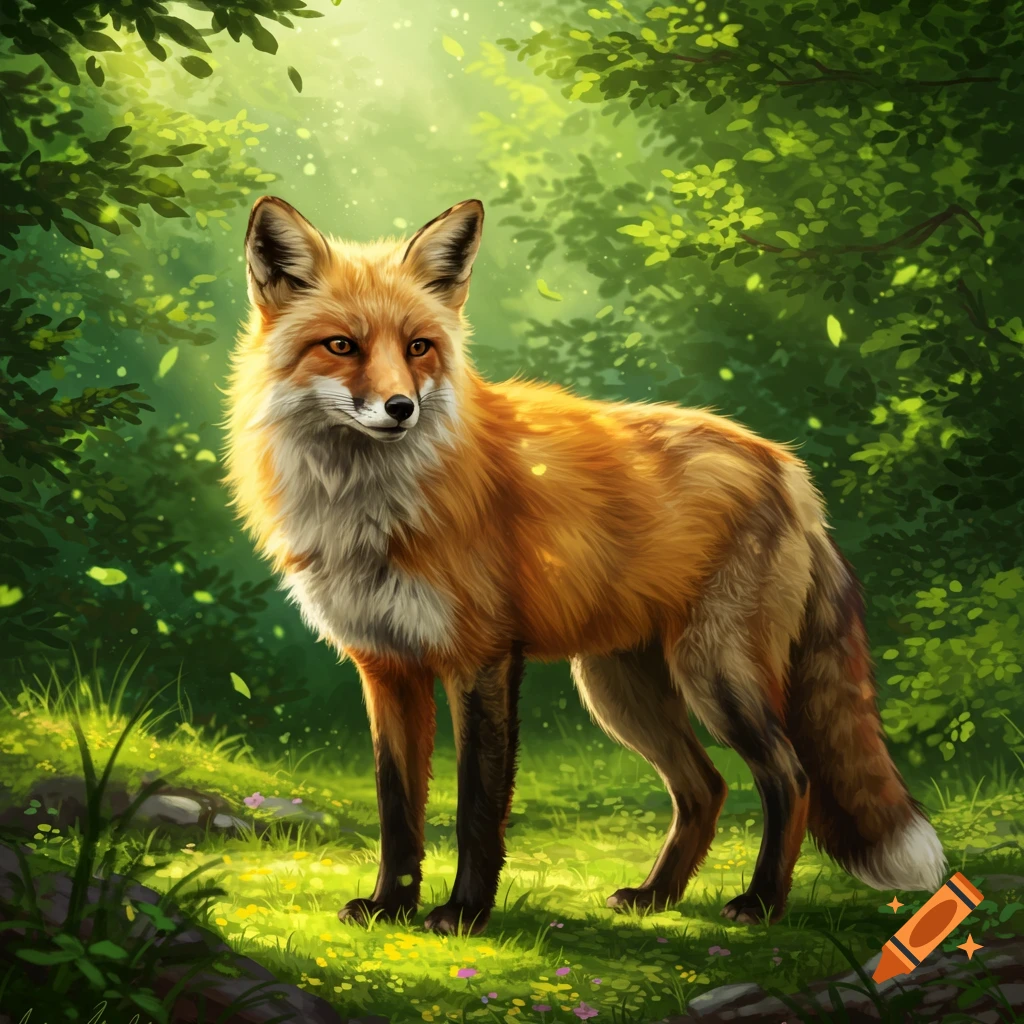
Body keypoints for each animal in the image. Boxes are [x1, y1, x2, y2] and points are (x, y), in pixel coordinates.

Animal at [223, 194, 946, 936]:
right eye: (342, 345)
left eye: (419, 347)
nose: (402, 408)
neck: (369, 508)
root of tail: (785, 466)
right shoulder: (387, 666)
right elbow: (398, 810)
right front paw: (389, 907)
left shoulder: (481, 657)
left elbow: (477, 806)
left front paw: (464, 913)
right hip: (619, 689)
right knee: (706, 787)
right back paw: (657, 896)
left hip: (716, 676)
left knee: (789, 777)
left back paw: (761, 902)